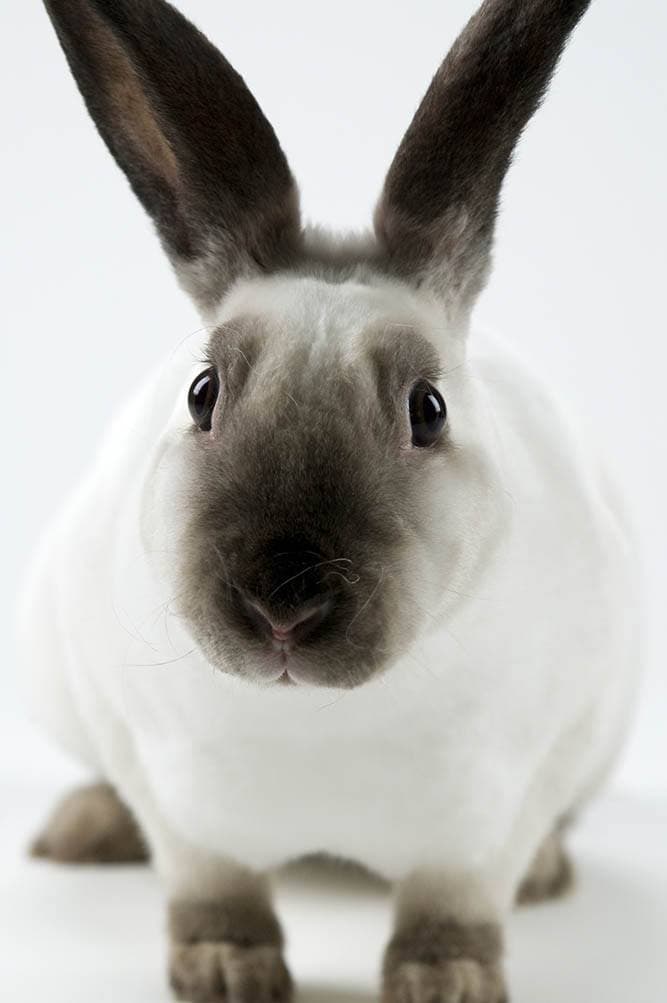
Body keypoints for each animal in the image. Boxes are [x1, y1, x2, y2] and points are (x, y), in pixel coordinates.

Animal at [20, 1, 641, 1001]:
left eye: (427, 409)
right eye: (202, 394)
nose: (283, 602)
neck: (316, 720)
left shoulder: (500, 806)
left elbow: (454, 903)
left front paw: (446, 981)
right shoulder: (169, 793)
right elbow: (211, 886)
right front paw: (226, 970)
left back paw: (547, 874)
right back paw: (80, 831)